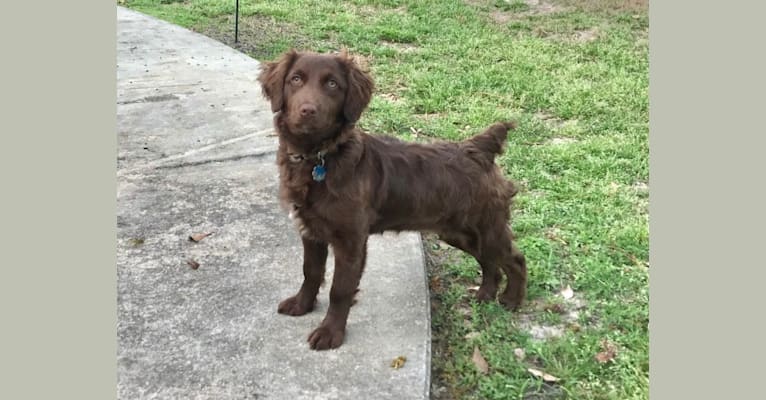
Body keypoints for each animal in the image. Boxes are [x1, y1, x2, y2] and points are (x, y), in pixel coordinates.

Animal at [258, 50, 528, 350]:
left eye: (332, 84)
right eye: (295, 79)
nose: (308, 111)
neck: (319, 158)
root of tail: (478, 149)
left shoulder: (351, 241)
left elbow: (340, 289)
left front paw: (330, 333)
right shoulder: (310, 231)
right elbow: (310, 271)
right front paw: (302, 305)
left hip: (486, 226)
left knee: (515, 260)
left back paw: (511, 300)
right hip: (460, 232)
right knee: (490, 262)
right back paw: (485, 294)